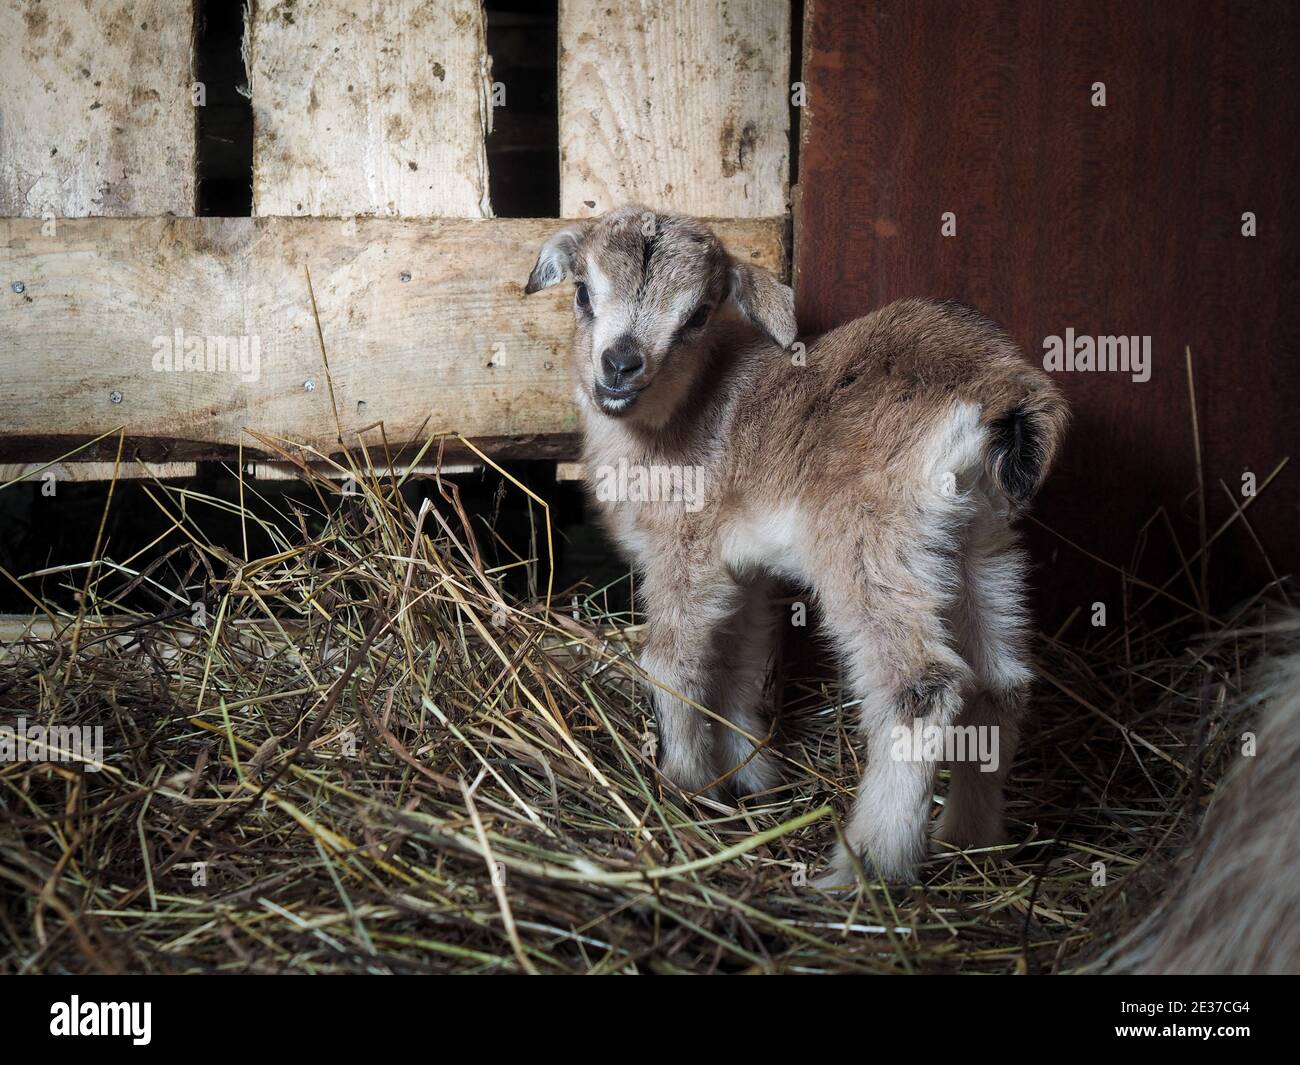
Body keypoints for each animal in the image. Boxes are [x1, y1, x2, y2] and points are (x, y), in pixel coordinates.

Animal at [525, 205, 1069, 883]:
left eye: (698, 314)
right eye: (582, 292)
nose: (620, 365)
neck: (671, 421)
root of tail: (1000, 388)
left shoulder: (687, 551)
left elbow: (673, 661)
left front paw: (687, 784)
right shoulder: (747, 573)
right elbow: (741, 663)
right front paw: (750, 774)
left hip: (870, 540)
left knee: (923, 685)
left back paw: (865, 867)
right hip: (980, 545)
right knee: (1001, 682)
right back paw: (969, 842)